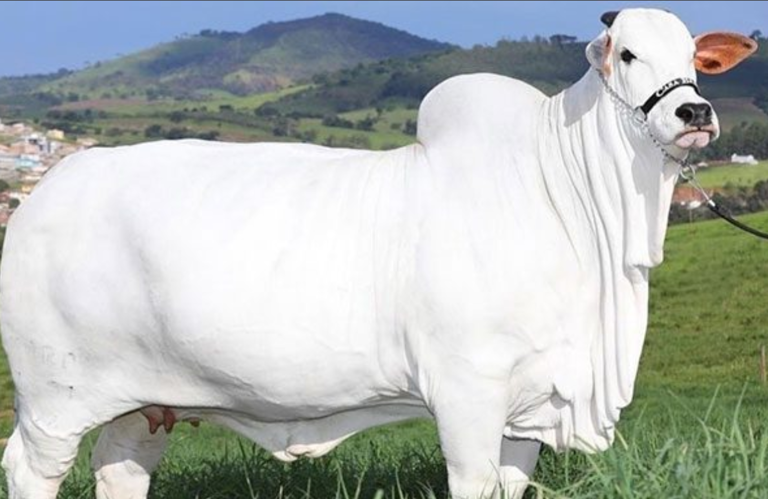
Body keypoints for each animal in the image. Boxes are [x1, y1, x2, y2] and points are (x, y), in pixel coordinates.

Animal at [0, 8, 758, 499]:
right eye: (626, 54)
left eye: (695, 59)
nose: (694, 114)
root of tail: (47, 190)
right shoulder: (467, 392)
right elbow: (473, 481)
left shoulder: (529, 405)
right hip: (54, 398)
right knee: (31, 470)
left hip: (143, 402)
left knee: (121, 467)